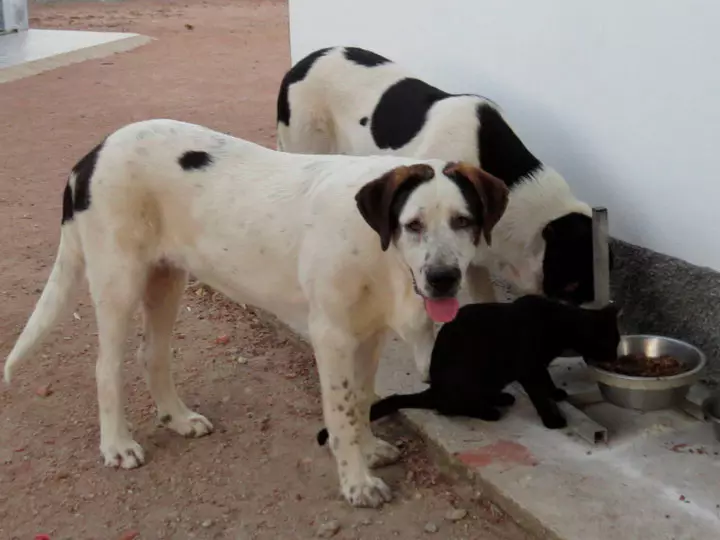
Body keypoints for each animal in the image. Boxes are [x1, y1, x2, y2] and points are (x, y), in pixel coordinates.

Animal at [2, 117, 510, 506]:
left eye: (463, 221)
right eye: (413, 225)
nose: (443, 277)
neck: (380, 246)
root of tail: (92, 155)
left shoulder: (369, 335)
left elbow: (362, 399)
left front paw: (368, 450)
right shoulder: (332, 336)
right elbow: (342, 412)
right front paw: (356, 482)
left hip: (166, 277)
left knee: (153, 355)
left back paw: (178, 418)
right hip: (118, 281)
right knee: (106, 367)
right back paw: (117, 445)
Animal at [318, 296, 620, 442]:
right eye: (614, 341)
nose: (616, 355)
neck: (558, 323)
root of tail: (434, 388)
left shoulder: (537, 367)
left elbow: (546, 381)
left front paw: (557, 393)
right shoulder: (528, 367)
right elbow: (538, 393)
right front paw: (553, 419)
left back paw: (501, 398)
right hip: (468, 378)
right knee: (447, 407)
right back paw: (489, 410)